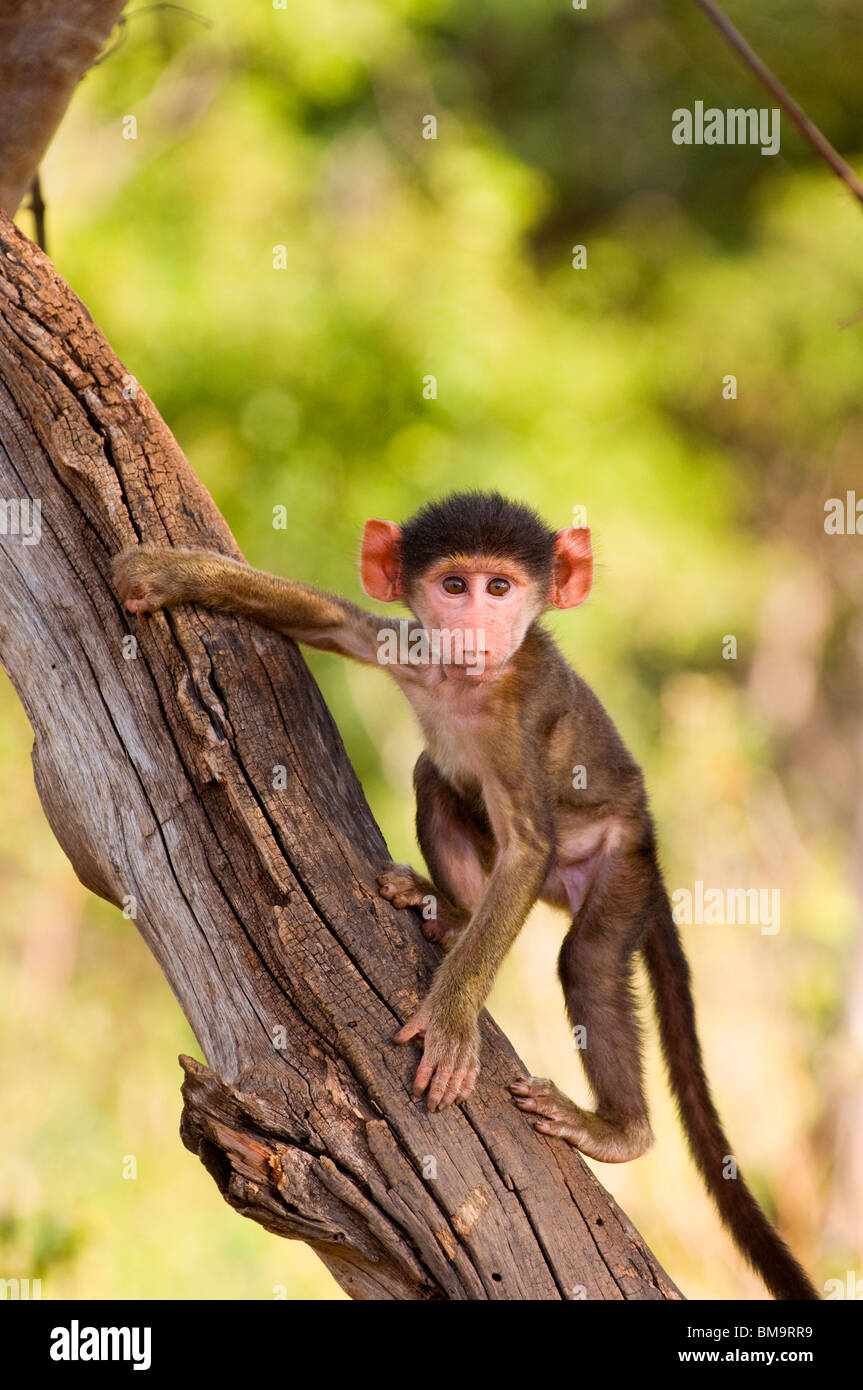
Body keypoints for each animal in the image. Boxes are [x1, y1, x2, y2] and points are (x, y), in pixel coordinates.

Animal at [113, 490, 817, 1300]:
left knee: (587, 957)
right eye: (455, 586)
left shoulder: (519, 718)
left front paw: (450, 1023)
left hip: (620, 863)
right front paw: (172, 573)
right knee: (434, 777)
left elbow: (527, 846)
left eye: (500, 588)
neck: (471, 683)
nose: (477, 625)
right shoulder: (414, 648)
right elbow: (326, 618)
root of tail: (649, 842)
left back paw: (618, 1130)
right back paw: (450, 918)